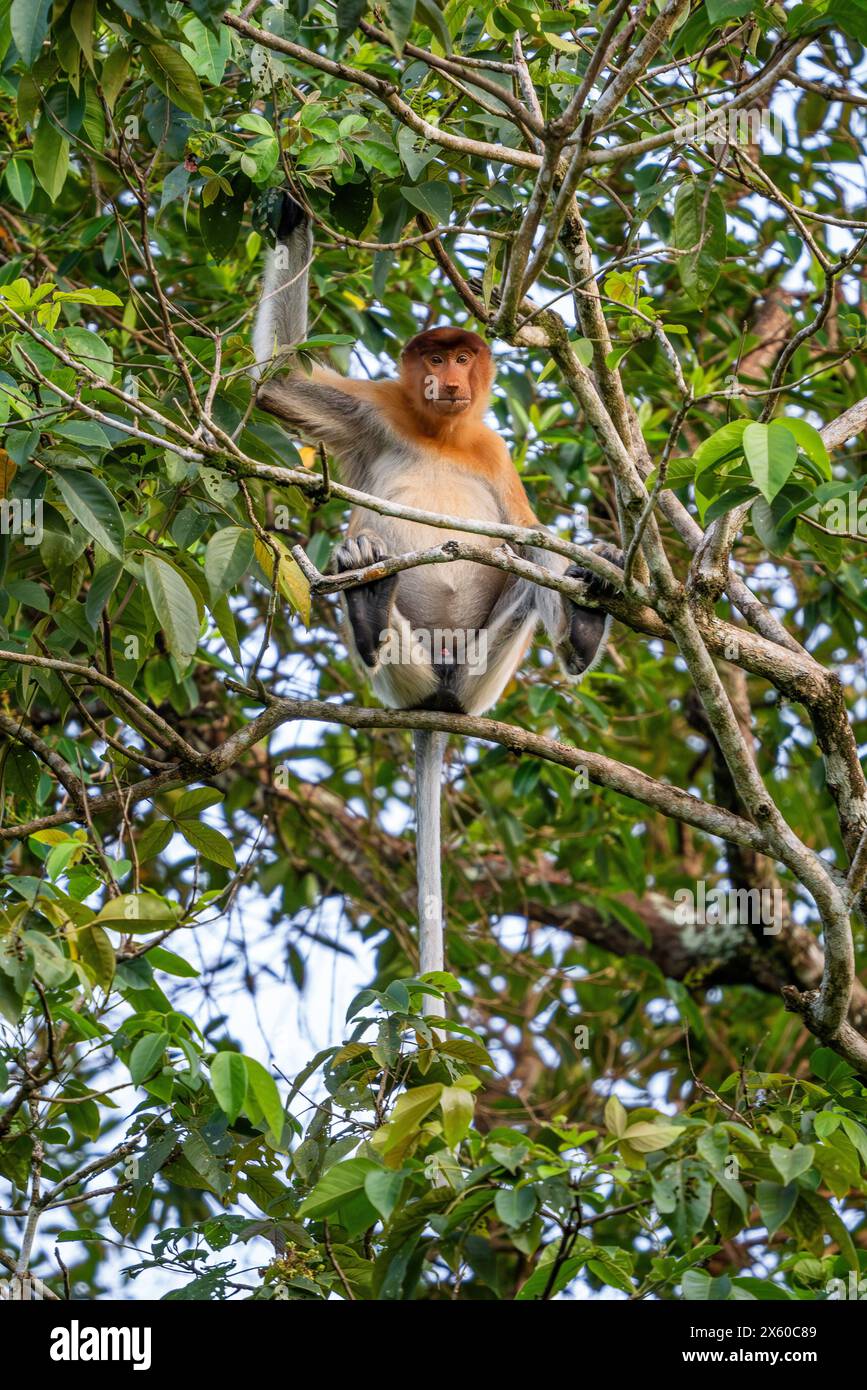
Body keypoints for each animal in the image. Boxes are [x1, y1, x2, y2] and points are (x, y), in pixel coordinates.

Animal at [252, 193, 621, 1011]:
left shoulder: (494, 452)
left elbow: (526, 535)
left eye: (460, 355)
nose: (447, 375)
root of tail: (440, 705)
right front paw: (293, 215)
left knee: (527, 557)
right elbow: (279, 379)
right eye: (431, 355)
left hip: (484, 675)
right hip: (404, 677)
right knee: (367, 581)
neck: (443, 431)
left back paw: (582, 624)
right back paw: (366, 601)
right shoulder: (378, 407)